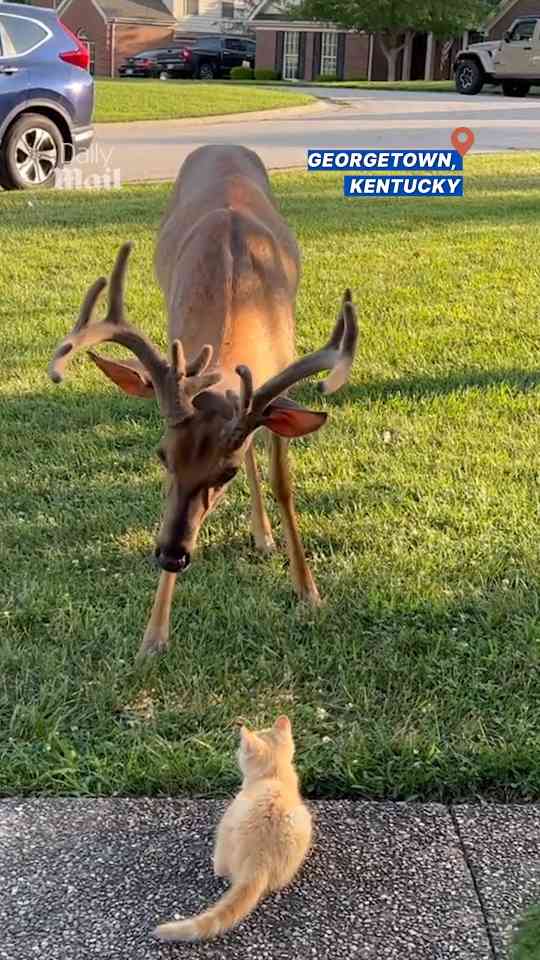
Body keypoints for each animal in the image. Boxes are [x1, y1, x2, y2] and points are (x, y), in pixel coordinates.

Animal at [48, 145, 358, 660]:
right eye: (162, 456)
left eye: (224, 473)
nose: (172, 554)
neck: (239, 296)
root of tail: (223, 146)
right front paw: (153, 636)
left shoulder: (279, 382)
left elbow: (282, 483)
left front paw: (309, 590)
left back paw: (264, 537)